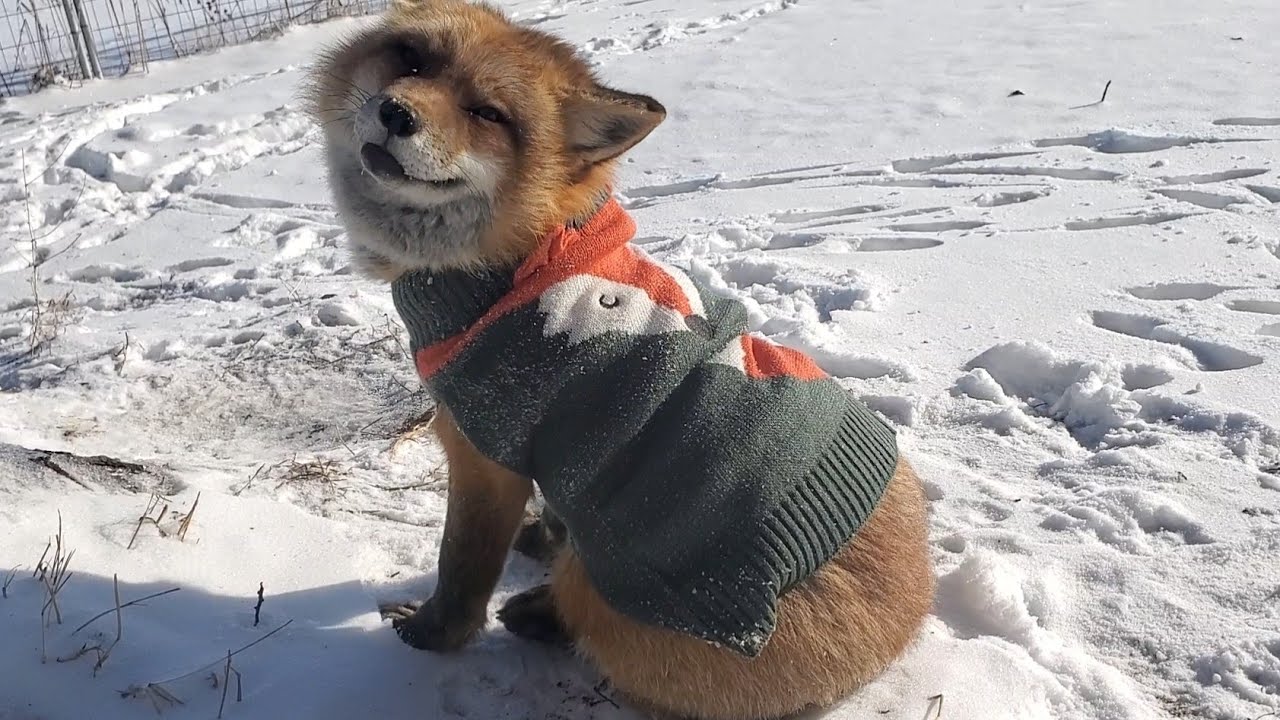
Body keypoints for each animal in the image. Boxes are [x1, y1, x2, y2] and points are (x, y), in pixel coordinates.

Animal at [305, 1, 935, 718]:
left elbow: (461, 570)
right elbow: (547, 519)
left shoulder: (485, 454)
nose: (396, 113)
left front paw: (427, 640)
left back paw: (541, 615)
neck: (517, 259)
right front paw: (544, 536)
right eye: (411, 58)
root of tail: (903, 635)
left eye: (488, 114)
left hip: (612, 593)